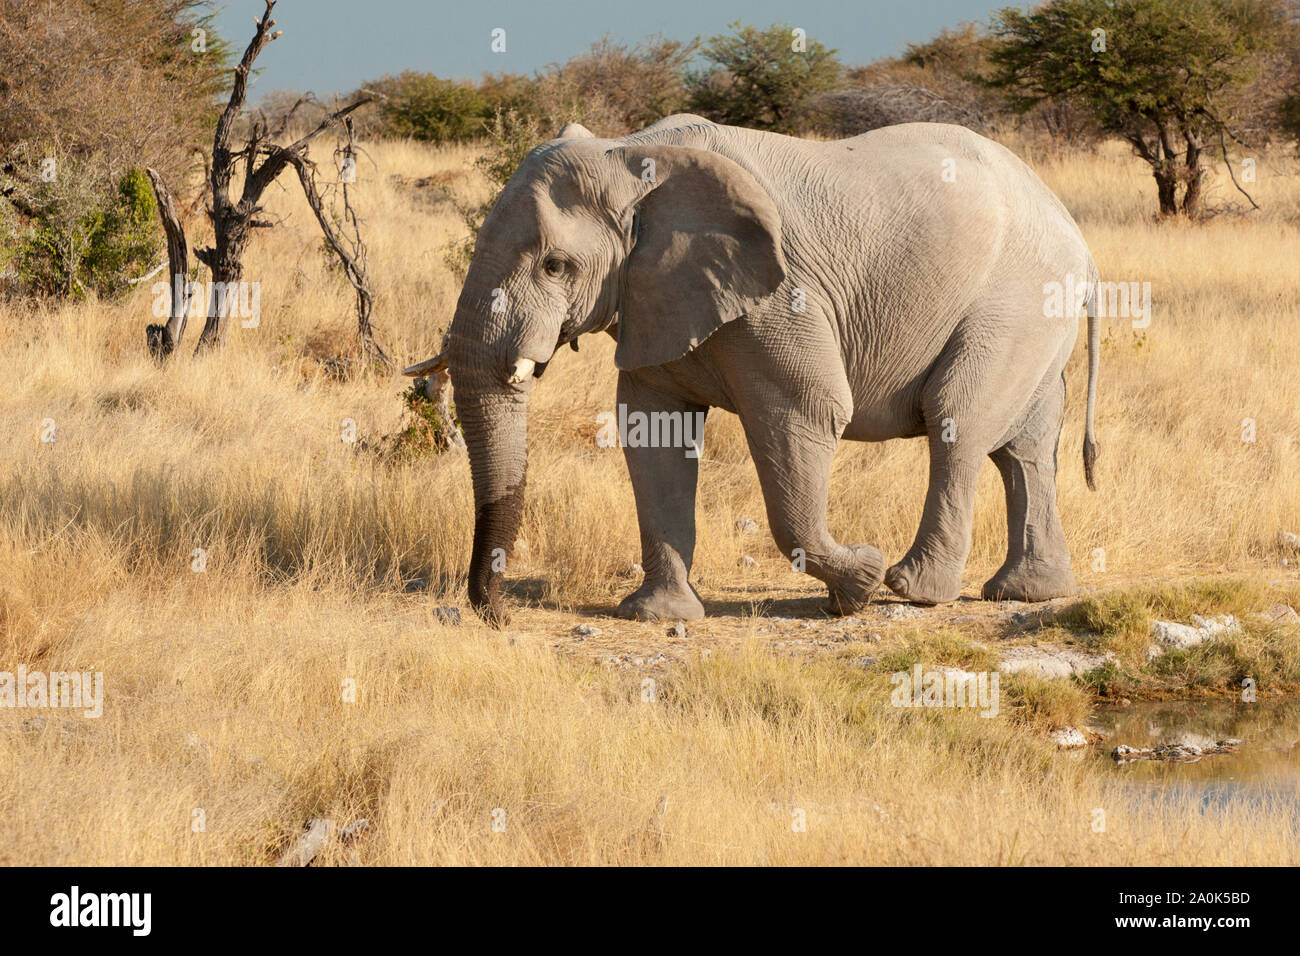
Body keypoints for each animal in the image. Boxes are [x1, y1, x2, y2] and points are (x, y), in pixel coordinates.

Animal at [427, 113, 1100, 625]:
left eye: (555, 266)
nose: (496, 613)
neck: (638, 153)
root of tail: (1075, 233)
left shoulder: (781, 296)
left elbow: (805, 411)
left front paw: (858, 583)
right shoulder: (653, 296)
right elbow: (651, 432)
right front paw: (656, 616)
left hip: (1014, 299)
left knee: (957, 420)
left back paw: (913, 588)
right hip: (1038, 312)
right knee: (1024, 446)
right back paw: (1027, 593)